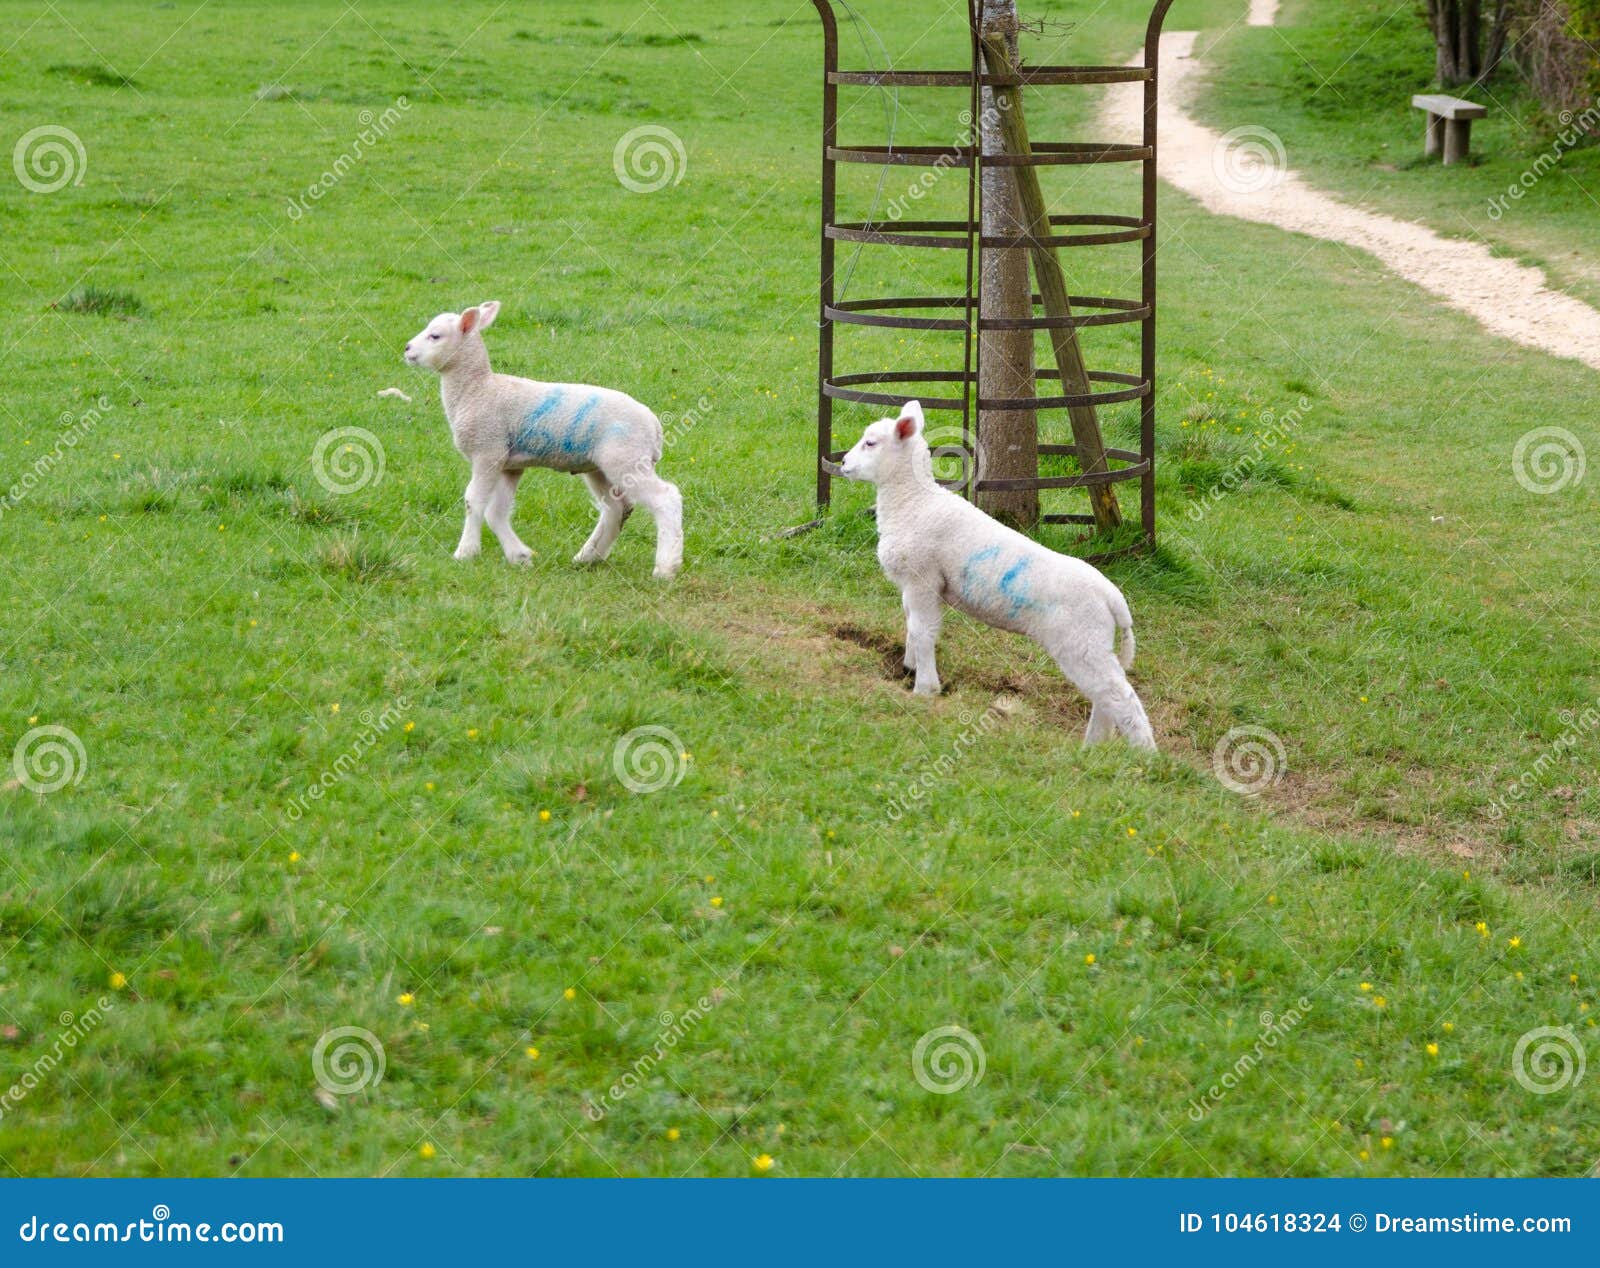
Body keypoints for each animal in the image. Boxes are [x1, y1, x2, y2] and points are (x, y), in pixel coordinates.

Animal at [403, 301, 683, 579]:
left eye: (435, 335)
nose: (407, 349)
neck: (477, 390)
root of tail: (654, 426)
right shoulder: (509, 464)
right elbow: (496, 512)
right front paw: (519, 556)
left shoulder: (488, 450)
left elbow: (474, 501)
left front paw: (465, 552)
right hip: (600, 466)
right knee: (616, 508)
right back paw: (588, 557)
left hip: (626, 458)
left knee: (666, 498)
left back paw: (665, 567)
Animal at [839, 400, 1156, 749]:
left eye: (871, 443)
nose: (843, 463)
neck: (913, 501)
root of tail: (1114, 600)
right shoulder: (917, 583)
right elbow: (911, 623)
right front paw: (910, 666)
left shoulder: (923, 577)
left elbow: (924, 631)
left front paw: (925, 688)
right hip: (1092, 643)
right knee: (1105, 696)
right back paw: (1092, 749)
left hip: (1082, 640)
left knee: (1120, 695)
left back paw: (1145, 754)